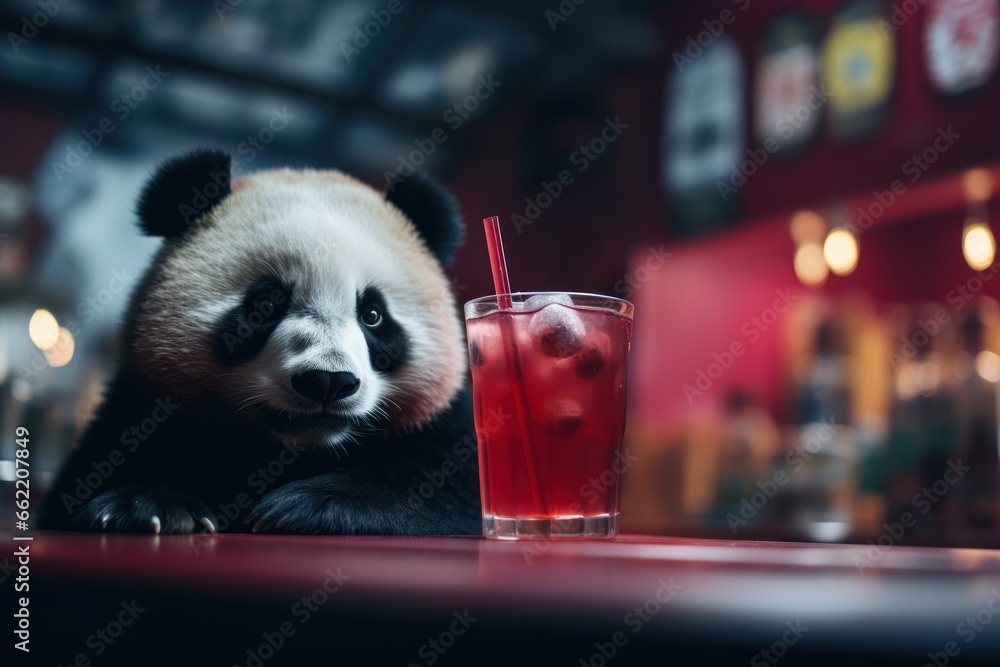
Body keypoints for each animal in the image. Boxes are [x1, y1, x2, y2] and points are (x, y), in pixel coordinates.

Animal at [41, 148, 481, 535]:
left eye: (372, 315)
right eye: (267, 303)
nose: (328, 382)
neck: (299, 448)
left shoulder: (445, 419)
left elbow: (453, 482)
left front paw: (307, 507)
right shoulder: (141, 399)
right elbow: (90, 473)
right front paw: (147, 506)